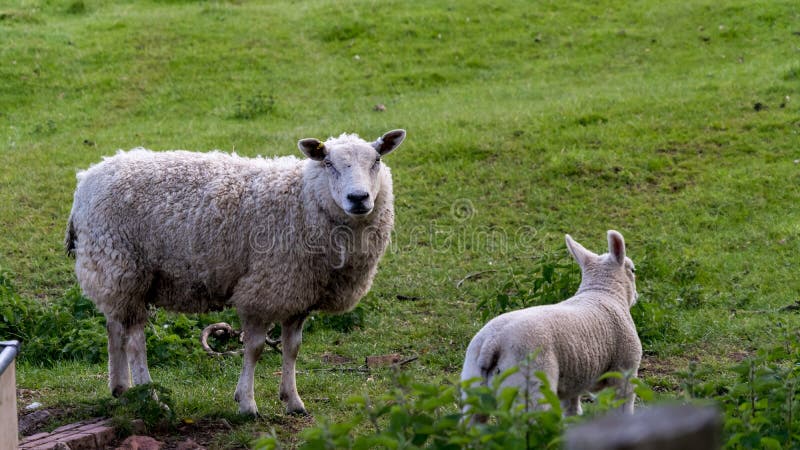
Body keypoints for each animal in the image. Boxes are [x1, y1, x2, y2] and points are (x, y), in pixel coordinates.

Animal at [65, 129, 406, 416]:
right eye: (328, 162)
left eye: (377, 160)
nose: (358, 198)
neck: (302, 199)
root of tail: (86, 182)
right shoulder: (263, 289)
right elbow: (254, 349)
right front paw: (247, 404)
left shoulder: (298, 293)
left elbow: (293, 348)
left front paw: (293, 401)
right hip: (123, 265)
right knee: (135, 341)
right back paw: (151, 397)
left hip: (114, 275)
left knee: (114, 327)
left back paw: (121, 389)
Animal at [461, 230, 641, 419]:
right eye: (633, 270)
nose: (637, 297)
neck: (603, 293)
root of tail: (492, 343)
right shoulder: (625, 370)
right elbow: (623, 408)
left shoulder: (573, 382)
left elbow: (571, 411)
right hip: (530, 384)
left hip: (473, 383)